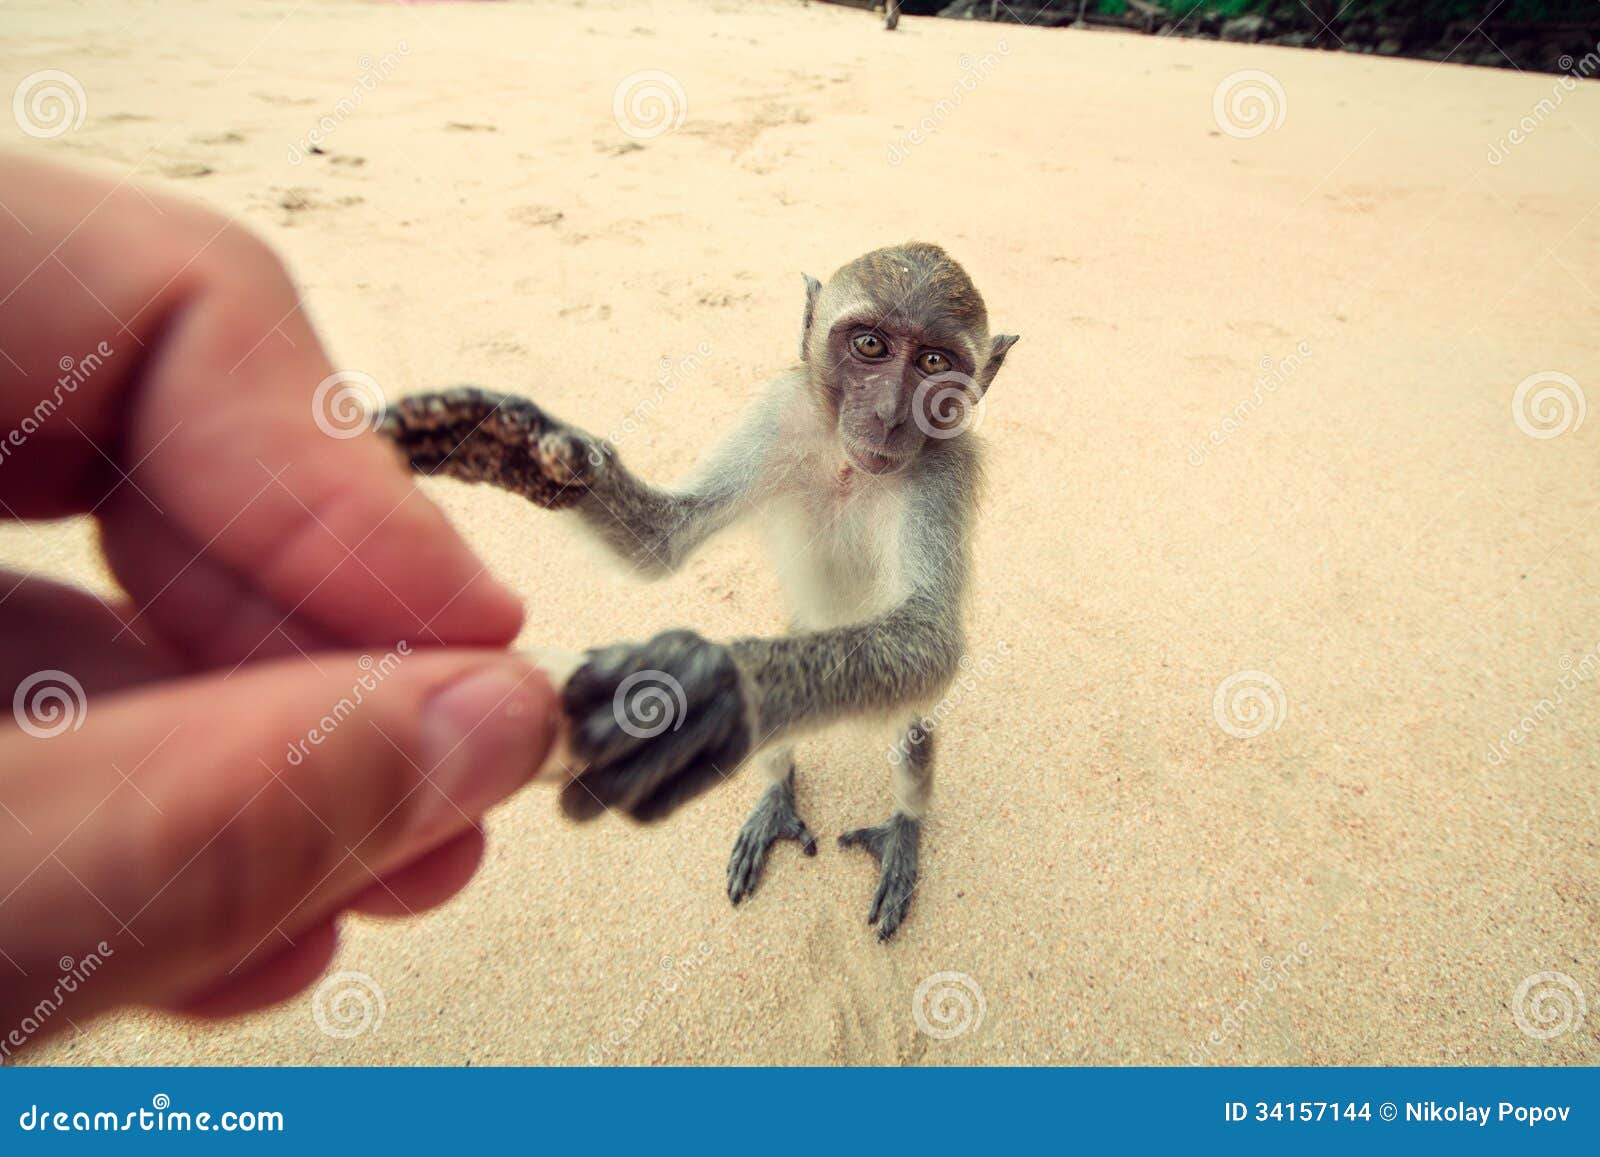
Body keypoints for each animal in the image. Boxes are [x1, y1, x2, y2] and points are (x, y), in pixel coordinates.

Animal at [379, 242, 1017, 940]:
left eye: (934, 363)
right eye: (870, 345)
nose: (888, 416)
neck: (851, 464)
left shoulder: (944, 470)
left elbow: (930, 634)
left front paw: (721, 691)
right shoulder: (780, 419)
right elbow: (665, 540)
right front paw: (527, 453)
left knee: (911, 727)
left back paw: (903, 826)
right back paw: (776, 794)